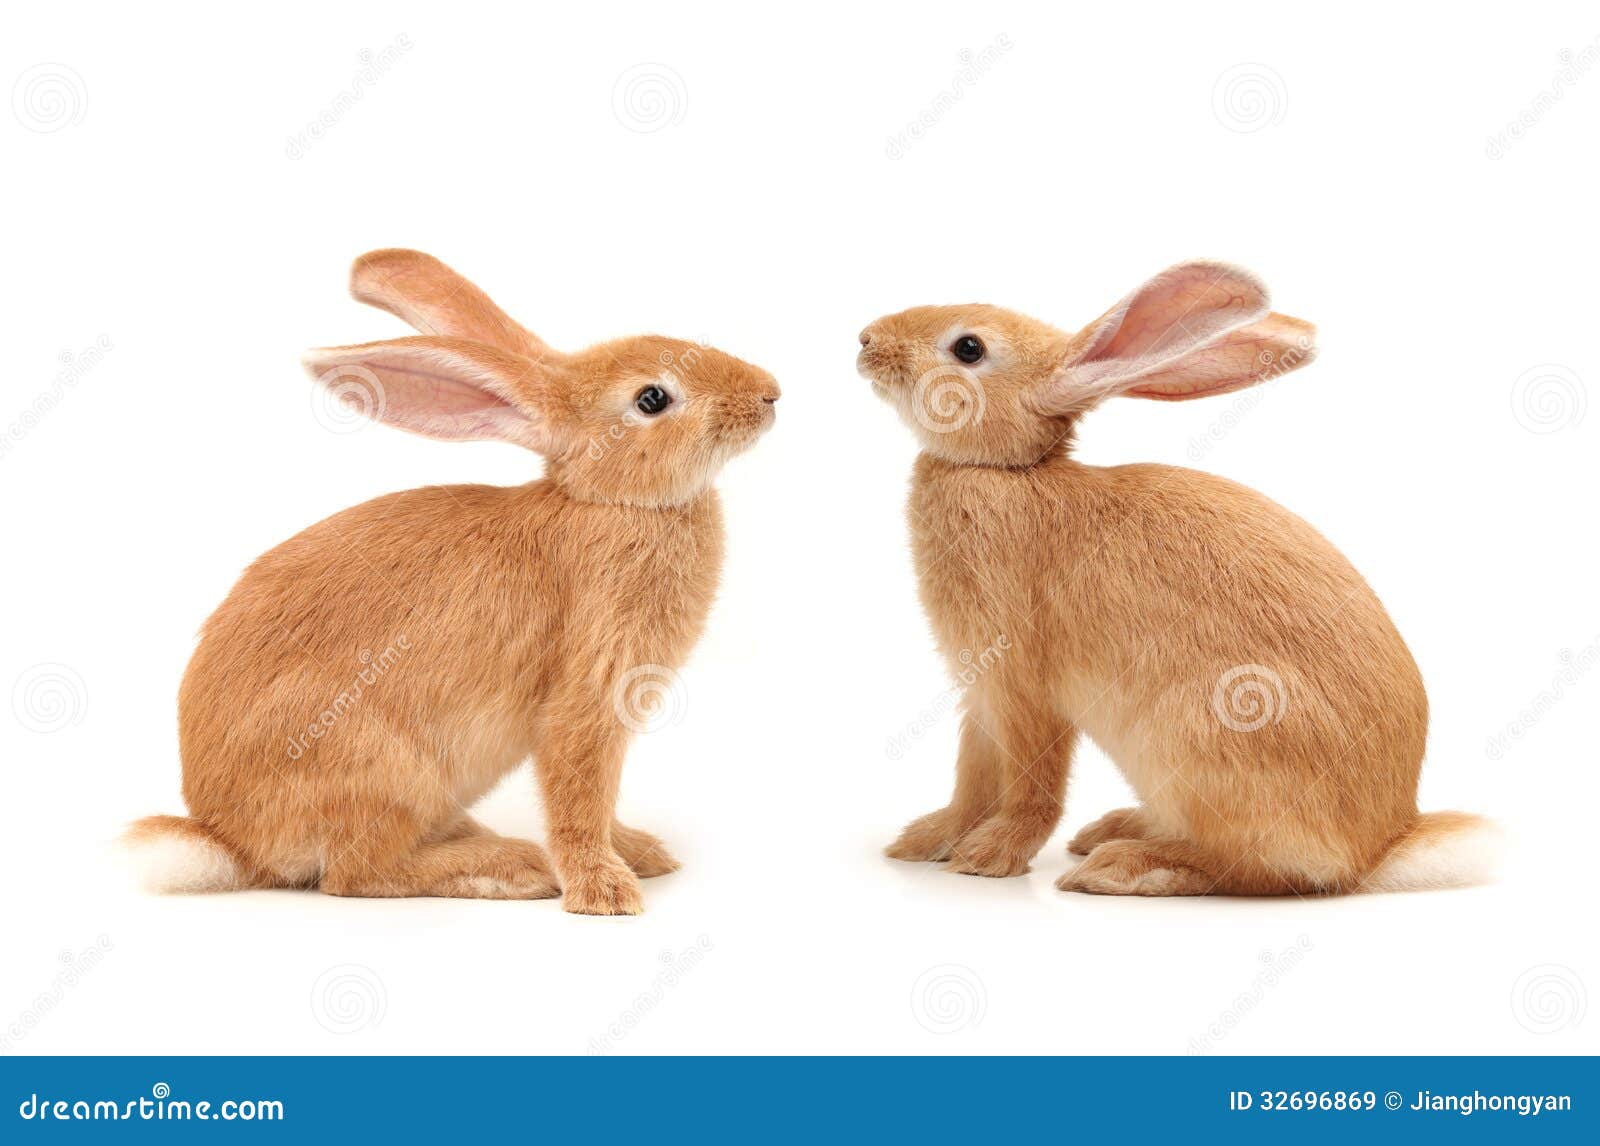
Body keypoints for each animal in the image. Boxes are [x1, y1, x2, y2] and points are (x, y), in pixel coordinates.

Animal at [126, 248, 779, 915]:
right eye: (652, 398)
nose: (770, 392)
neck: (614, 502)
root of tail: (229, 838)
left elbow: (600, 799)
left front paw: (642, 854)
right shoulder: (588, 691)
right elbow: (579, 794)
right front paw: (604, 891)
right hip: (379, 766)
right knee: (357, 873)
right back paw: (510, 867)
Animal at [858, 260, 1496, 896]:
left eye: (968, 348)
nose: (866, 340)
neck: (1007, 472)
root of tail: (1379, 847)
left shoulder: (1022, 686)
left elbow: (1032, 785)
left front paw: (989, 857)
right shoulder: (981, 701)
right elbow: (972, 782)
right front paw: (925, 841)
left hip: (1205, 737)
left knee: (1258, 867)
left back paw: (1128, 864)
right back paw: (1117, 830)